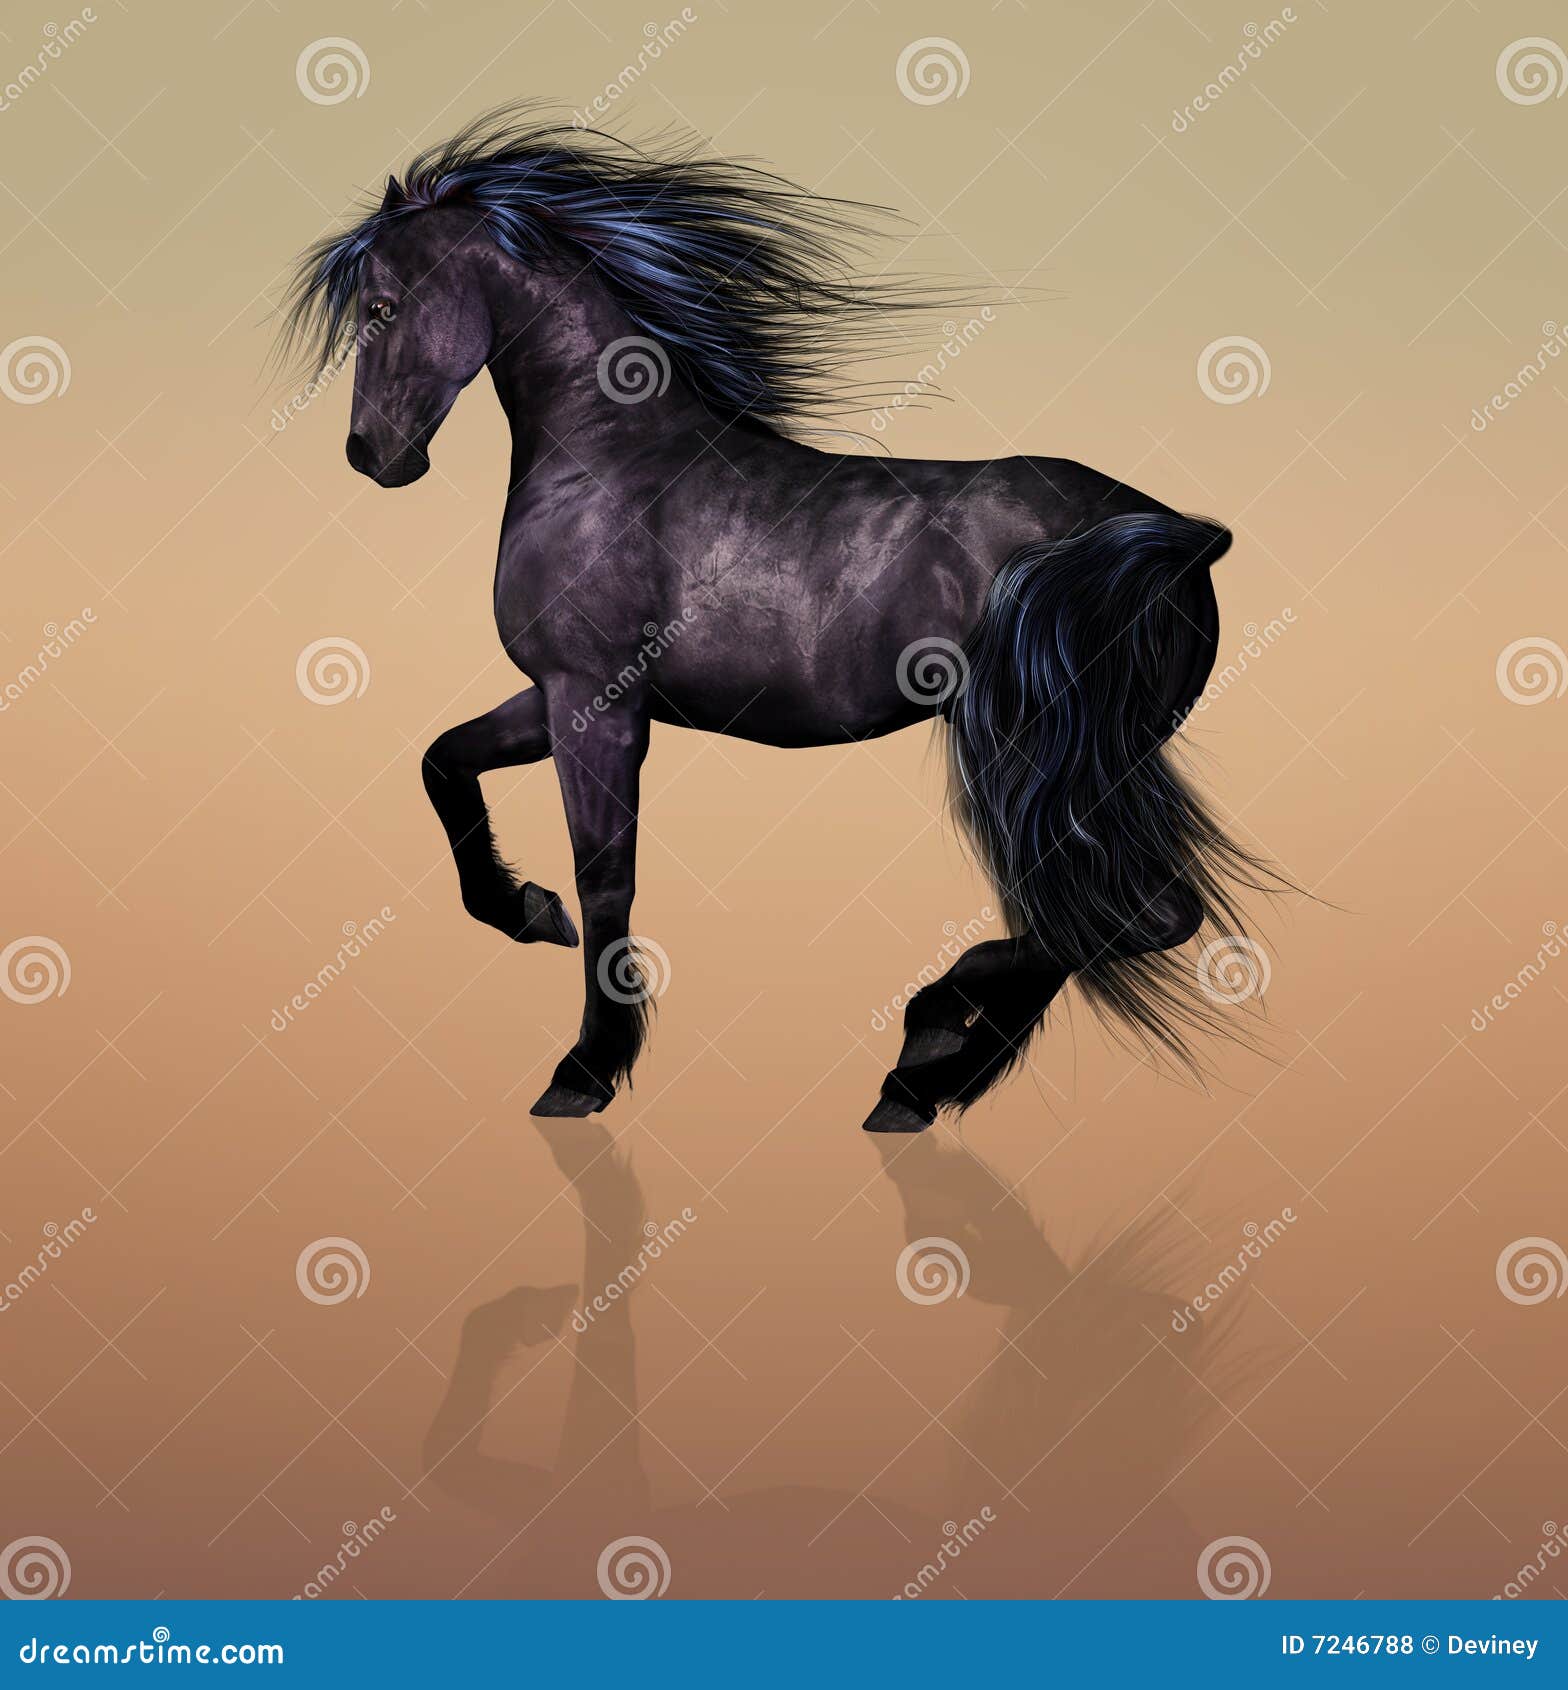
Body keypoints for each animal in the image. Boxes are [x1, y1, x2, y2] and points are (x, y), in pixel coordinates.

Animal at [280, 106, 1269, 1129]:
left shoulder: (595, 706)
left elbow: (607, 880)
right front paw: (527, 912)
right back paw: (922, 1076)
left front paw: (585, 1069)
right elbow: (444, 764)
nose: (373, 455)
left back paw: (924, 1044)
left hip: (1036, 755)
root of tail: (1175, 534)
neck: (612, 458)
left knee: (1117, 916)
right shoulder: (554, 695)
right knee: (1091, 920)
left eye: (381, 308)